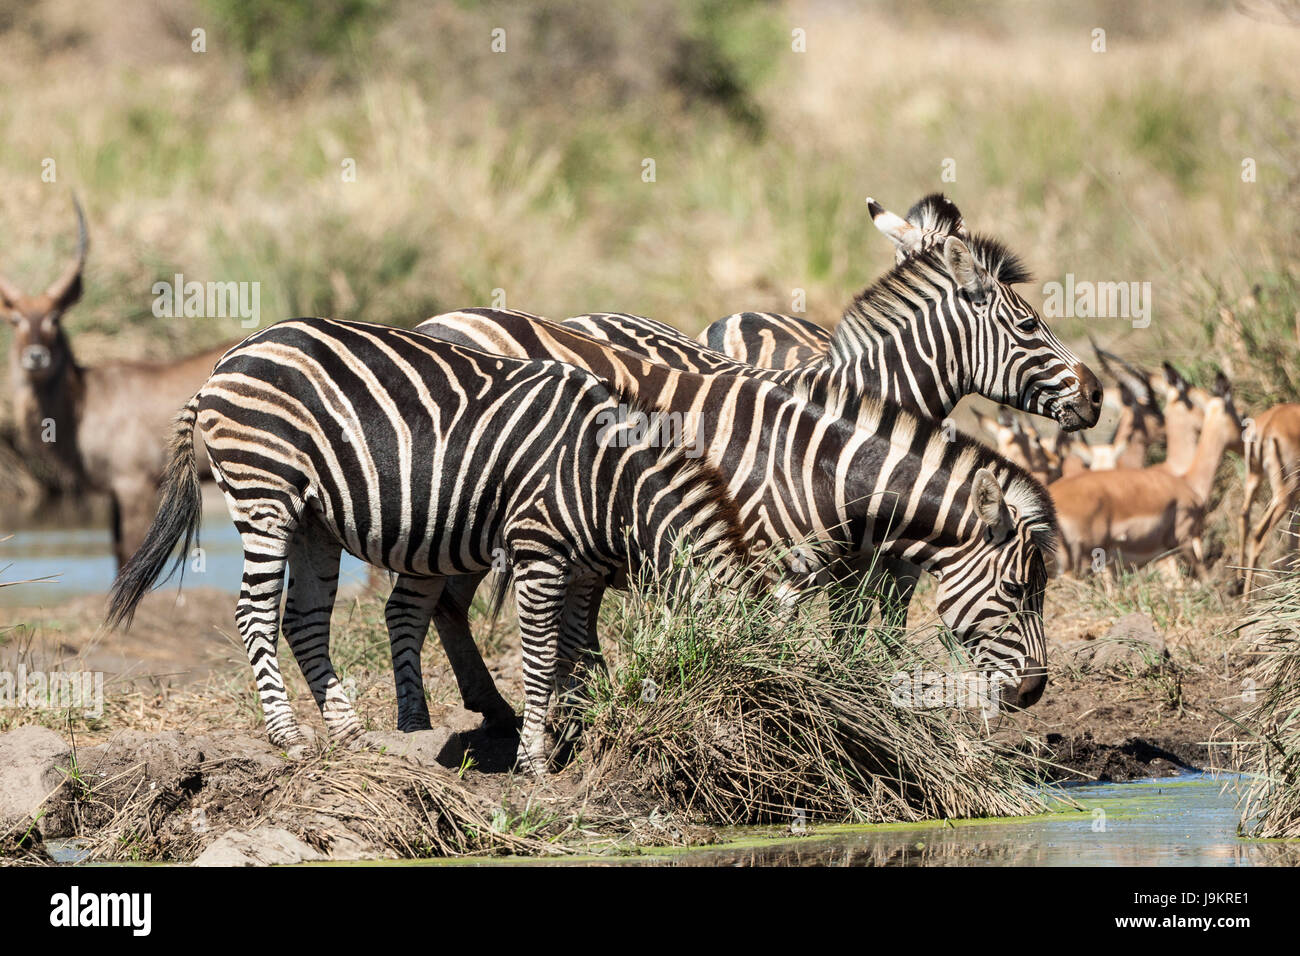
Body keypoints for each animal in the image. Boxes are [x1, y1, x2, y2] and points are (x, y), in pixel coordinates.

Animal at [105, 318, 753, 773]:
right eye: (740, 691)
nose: (750, 762)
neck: (603, 478)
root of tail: (226, 362)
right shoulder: (540, 549)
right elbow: (541, 655)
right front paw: (536, 757)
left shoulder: (580, 565)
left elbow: (573, 649)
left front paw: (571, 730)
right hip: (265, 489)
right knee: (255, 614)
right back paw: (289, 738)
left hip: (313, 520)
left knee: (304, 618)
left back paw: (351, 735)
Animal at [414, 307, 1058, 713]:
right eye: (1018, 590)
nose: (1034, 692)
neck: (817, 464)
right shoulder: (765, 562)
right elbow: (779, 640)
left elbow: (851, 631)